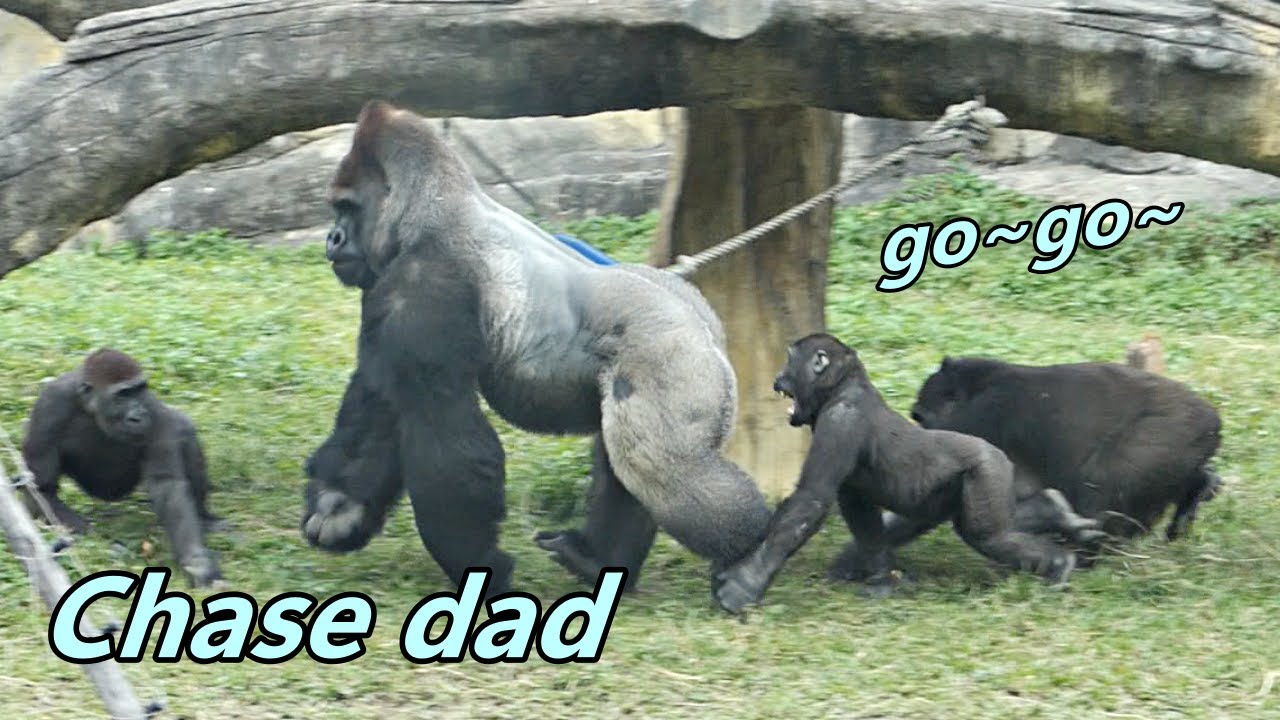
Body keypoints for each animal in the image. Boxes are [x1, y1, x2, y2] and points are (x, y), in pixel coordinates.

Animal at [20, 348, 224, 587]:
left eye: (137, 391)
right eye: (123, 394)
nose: (138, 415)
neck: (90, 404)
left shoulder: (150, 404)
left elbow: (167, 484)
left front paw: (196, 562)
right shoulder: (50, 403)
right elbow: (42, 489)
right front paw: (106, 547)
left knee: (183, 427)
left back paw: (204, 518)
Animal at [300, 99, 773, 599]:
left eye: (348, 208)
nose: (332, 238)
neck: (433, 208)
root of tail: (708, 331)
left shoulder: (425, 280)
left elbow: (441, 430)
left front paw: (480, 564)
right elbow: (379, 402)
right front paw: (338, 506)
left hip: (674, 360)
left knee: (661, 468)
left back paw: (753, 546)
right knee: (629, 463)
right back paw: (597, 559)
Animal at [712, 334, 1092, 614]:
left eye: (789, 361)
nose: (777, 379)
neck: (843, 384)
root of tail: (1000, 454)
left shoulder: (842, 421)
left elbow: (810, 500)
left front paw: (744, 583)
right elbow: (859, 511)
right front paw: (881, 579)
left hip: (988, 469)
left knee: (989, 534)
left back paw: (1058, 563)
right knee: (986, 524)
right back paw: (1056, 512)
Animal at [910, 354, 1223, 541]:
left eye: (922, 418)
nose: (920, 434)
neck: (975, 387)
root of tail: (1213, 418)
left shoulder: (982, 416)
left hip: (1173, 432)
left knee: (1103, 479)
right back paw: (1196, 492)